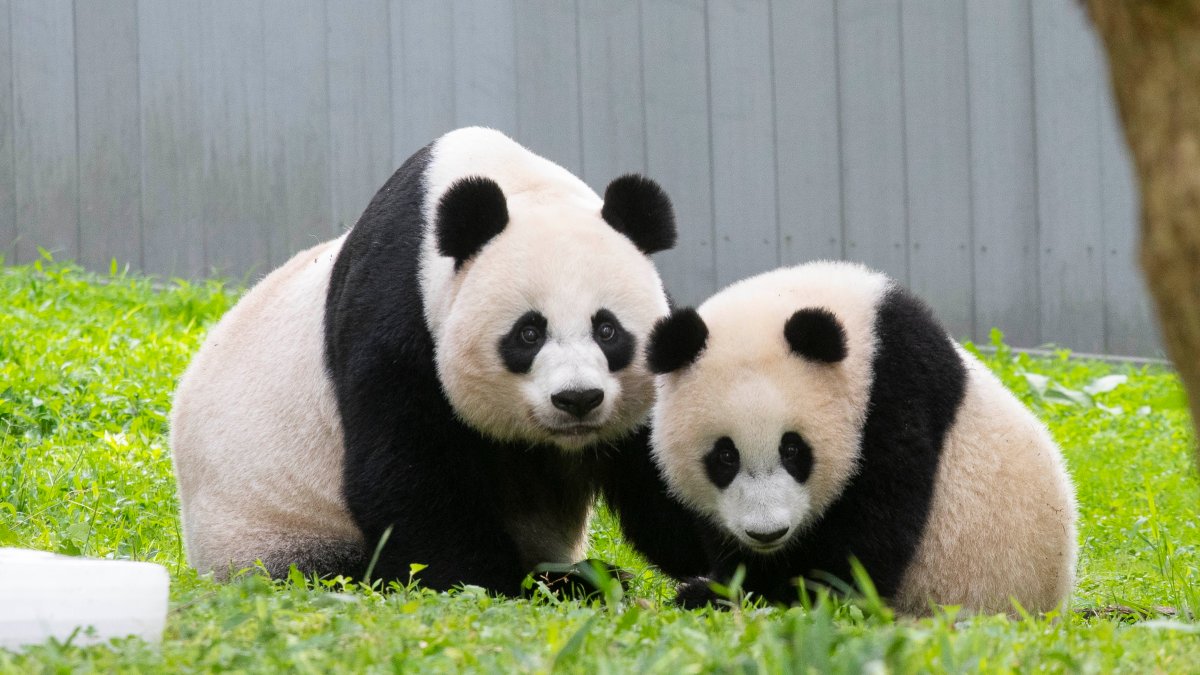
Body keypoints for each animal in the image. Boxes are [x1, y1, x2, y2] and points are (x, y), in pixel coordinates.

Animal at [170, 127, 679, 595]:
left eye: (607, 330)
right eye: (528, 334)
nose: (577, 399)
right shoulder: (397, 316)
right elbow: (406, 473)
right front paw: (498, 585)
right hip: (271, 531)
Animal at [634, 261, 1078, 615]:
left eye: (793, 449)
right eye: (724, 457)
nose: (767, 533)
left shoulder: (896, 388)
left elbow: (869, 541)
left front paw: (771, 596)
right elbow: (687, 543)